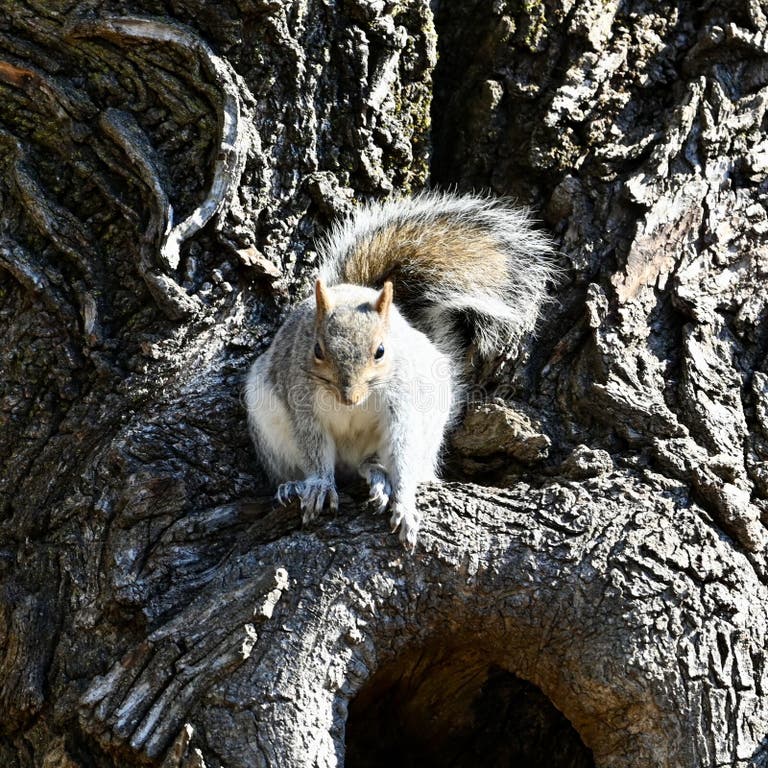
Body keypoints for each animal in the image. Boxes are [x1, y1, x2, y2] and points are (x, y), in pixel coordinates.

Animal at [245, 191, 556, 550]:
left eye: (381, 351)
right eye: (317, 350)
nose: (349, 397)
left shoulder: (403, 402)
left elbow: (403, 447)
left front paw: (405, 503)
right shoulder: (302, 401)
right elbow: (314, 448)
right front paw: (320, 484)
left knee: (383, 461)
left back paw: (379, 476)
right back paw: (295, 485)